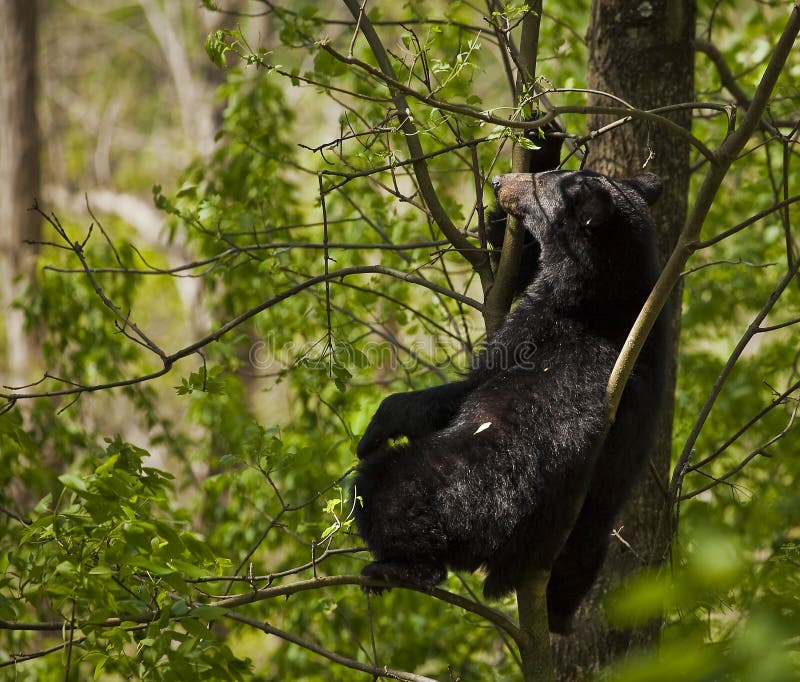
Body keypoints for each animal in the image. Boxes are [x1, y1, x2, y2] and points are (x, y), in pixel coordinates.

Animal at [353, 169, 667, 635]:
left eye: (542, 182)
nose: (501, 181)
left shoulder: (542, 325)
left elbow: (468, 385)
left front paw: (380, 422)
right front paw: (498, 225)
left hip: (455, 492)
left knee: (382, 490)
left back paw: (395, 567)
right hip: (591, 538)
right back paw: (557, 617)